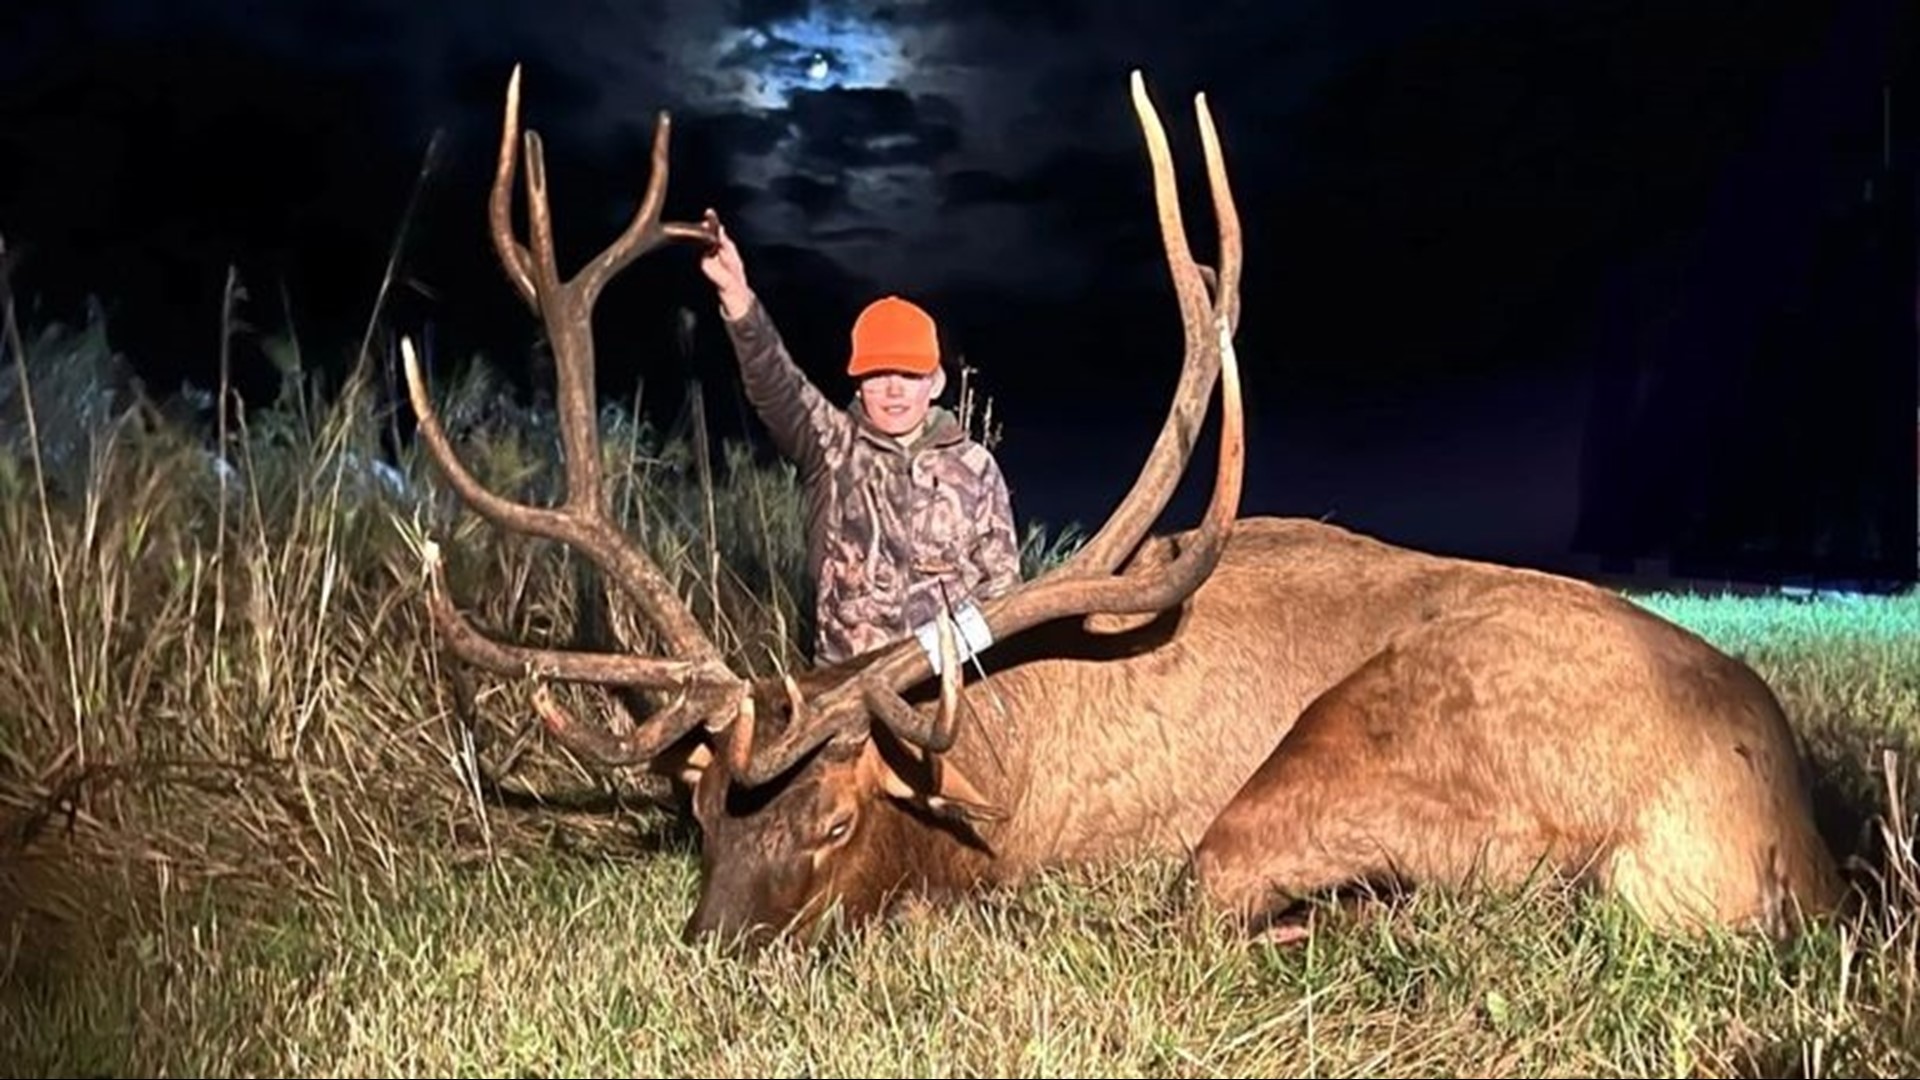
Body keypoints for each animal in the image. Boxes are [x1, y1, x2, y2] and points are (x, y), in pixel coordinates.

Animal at [399, 64, 1846, 952]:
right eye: (705, 820)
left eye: (832, 822)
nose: (712, 952)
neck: (996, 776)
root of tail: (1786, 841)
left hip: (1369, 757)